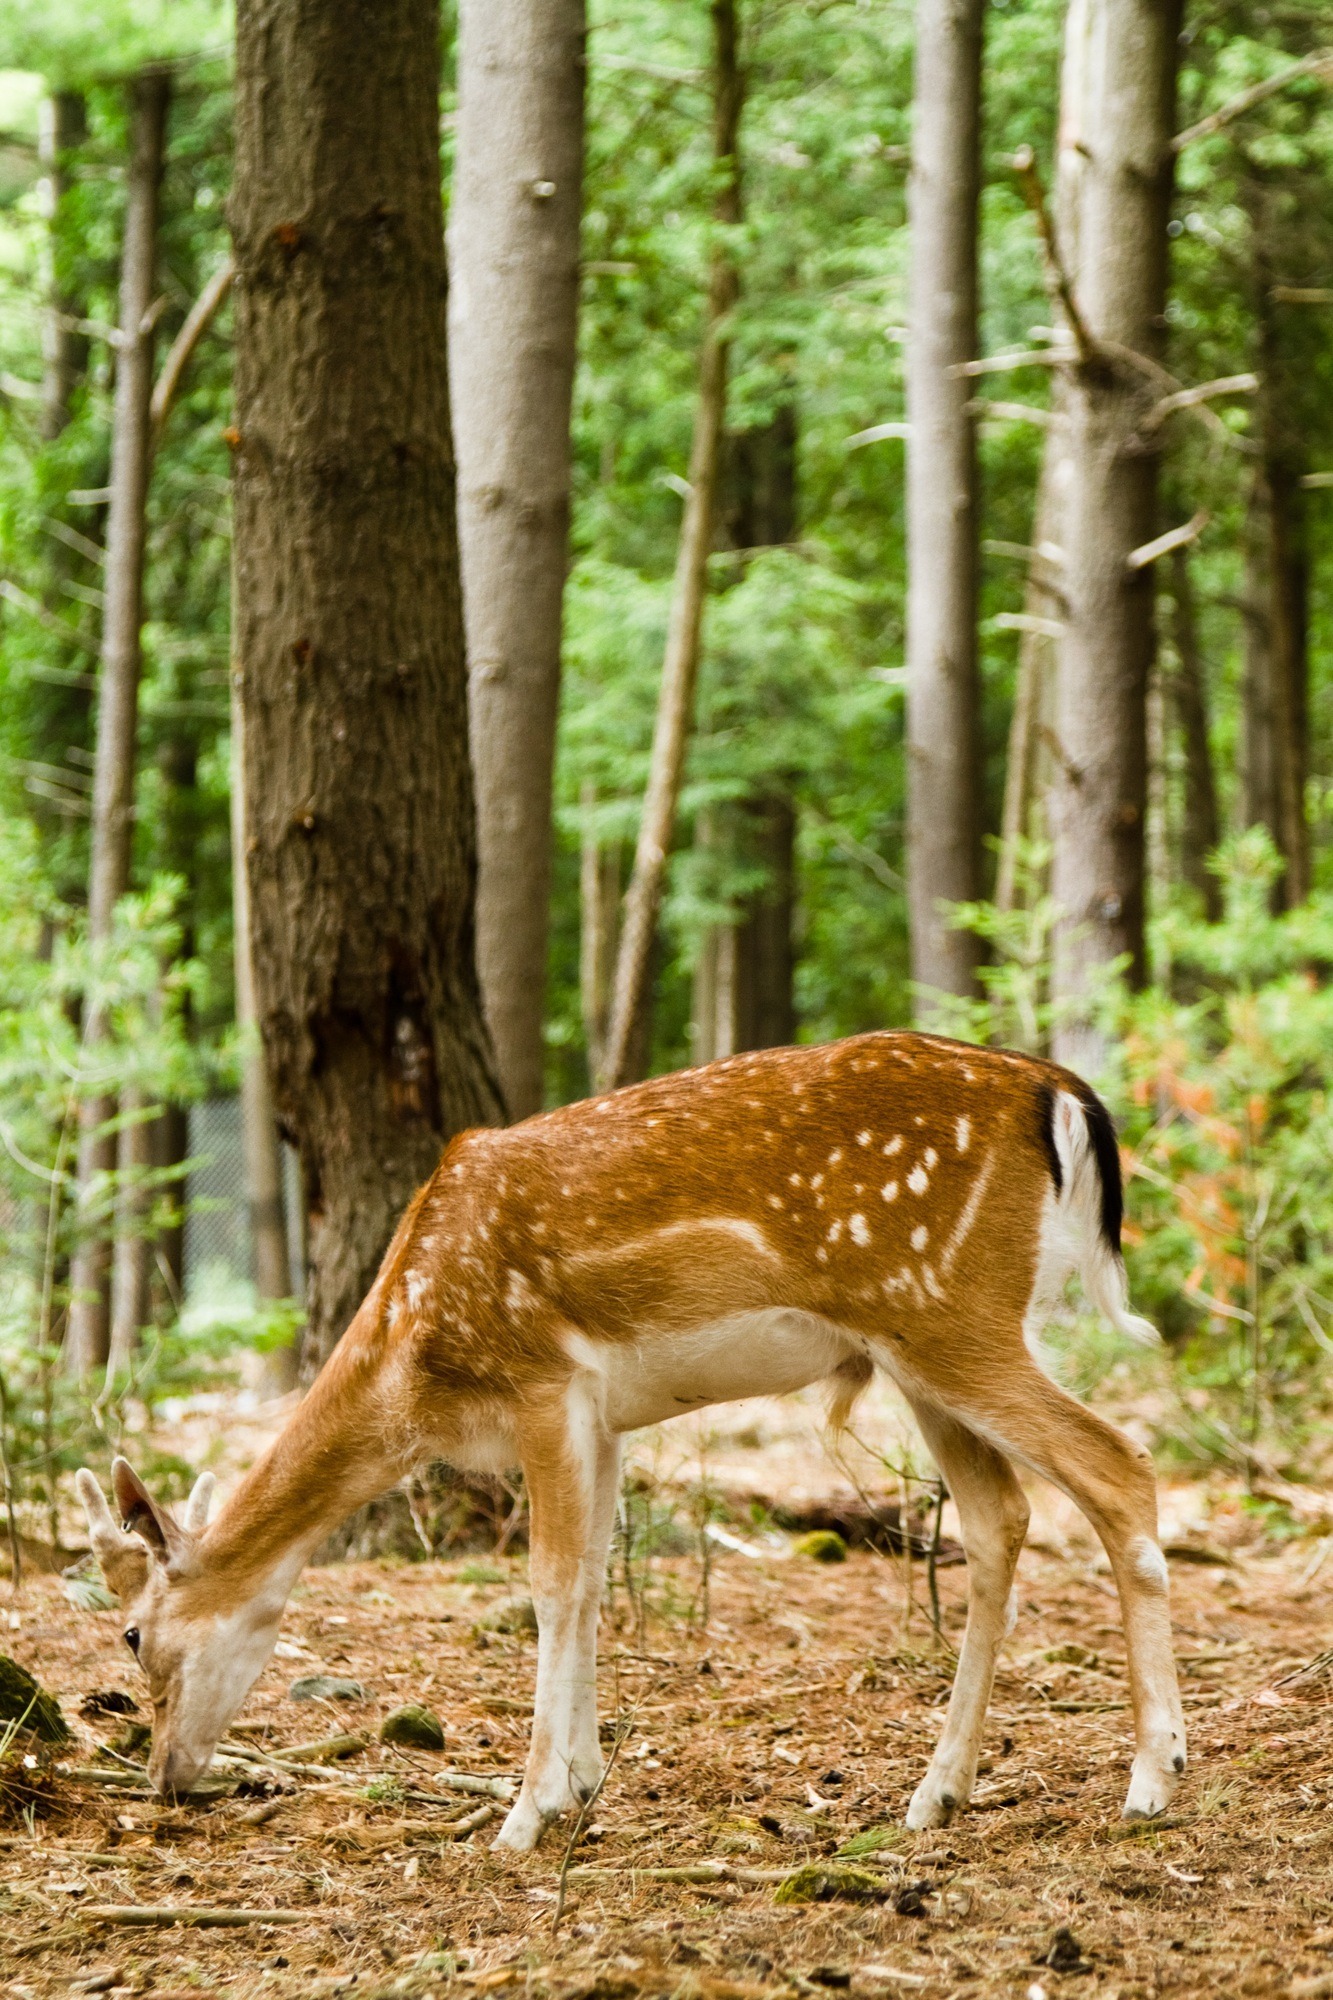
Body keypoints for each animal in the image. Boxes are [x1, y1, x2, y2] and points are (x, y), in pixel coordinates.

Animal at [76, 1031, 1186, 1851]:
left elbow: (550, 1582)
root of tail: (1056, 1090)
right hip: (924, 1345)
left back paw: (1151, 1777)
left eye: (131, 1631)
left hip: (950, 1310)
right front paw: (581, 1782)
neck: (412, 1359)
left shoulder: (542, 1382)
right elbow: (595, 1580)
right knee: (1000, 1515)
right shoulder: (603, 1417)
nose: (163, 1776)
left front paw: (525, 1813)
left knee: (1119, 1465)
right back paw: (936, 1793)